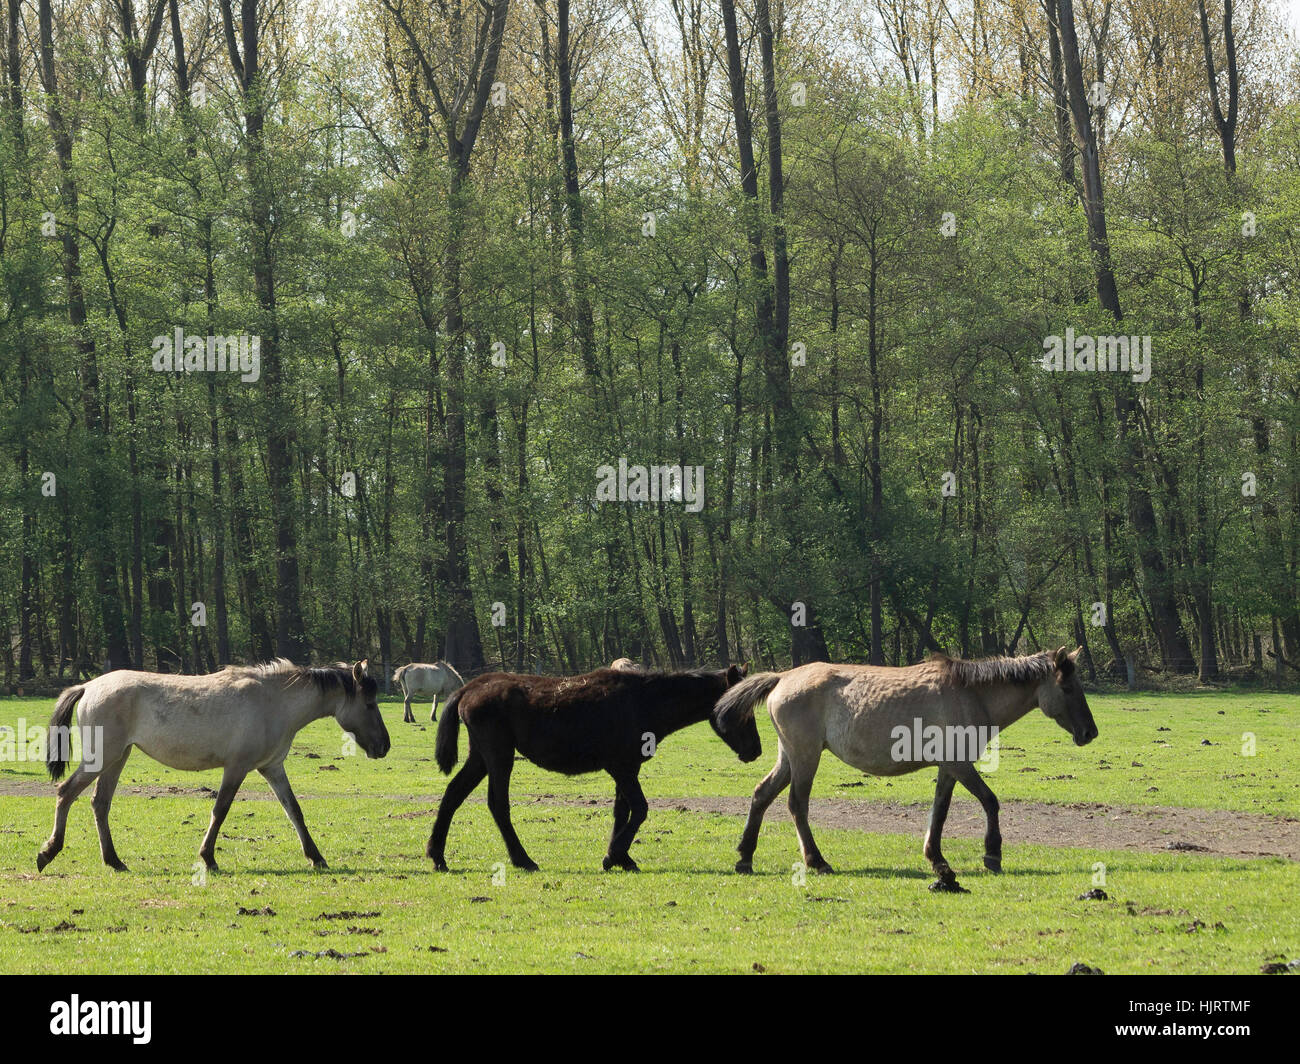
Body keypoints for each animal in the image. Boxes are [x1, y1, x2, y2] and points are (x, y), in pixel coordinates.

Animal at [36, 659, 390, 874]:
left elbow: (294, 811)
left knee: (100, 803)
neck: (273, 701)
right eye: (369, 703)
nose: (384, 746)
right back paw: (49, 852)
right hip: (102, 758)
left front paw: (316, 857)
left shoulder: (273, 768)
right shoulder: (237, 767)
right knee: (66, 792)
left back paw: (114, 861)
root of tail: (88, 686)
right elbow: (220, 810)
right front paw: (208, 858)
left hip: (117, 758)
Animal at [428, 665, 757, 872]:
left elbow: (622, 811)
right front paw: (615, 855)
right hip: (499, 756)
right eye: (739, 707)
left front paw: (621, 857)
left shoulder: (627, 769)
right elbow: (640, 809)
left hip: (481, 757)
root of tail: (469, 688)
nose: (756, 750)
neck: (644, 701)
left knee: (453, 795)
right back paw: (522, 859)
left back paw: (437, 855)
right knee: (497, 804)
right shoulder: (621, 768)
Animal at [711, 646, 1097, 892]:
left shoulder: (949, 767)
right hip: (805, 758)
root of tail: (782, 678)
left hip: (789, 758)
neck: (971, 693)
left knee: (762, 795)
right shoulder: (960, 763)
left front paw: (937, 860)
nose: (1089, 733)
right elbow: (990, 801)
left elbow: (939, 812)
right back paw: (816, 861)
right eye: (1067, 686)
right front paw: (992, 853)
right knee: (797, 805)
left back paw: (745, 856)